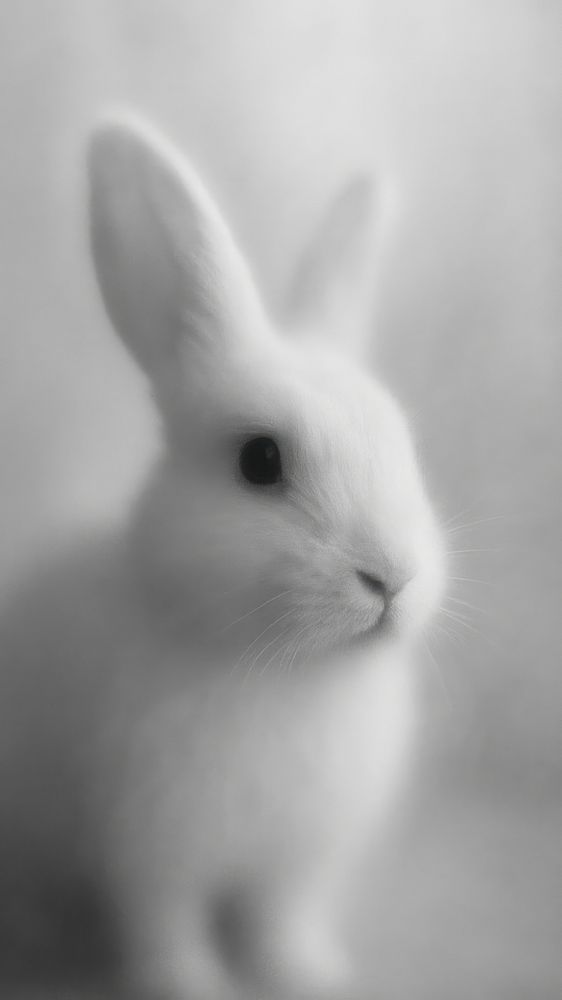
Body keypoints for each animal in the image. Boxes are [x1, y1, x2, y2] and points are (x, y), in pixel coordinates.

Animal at [0, 111, 445, 999]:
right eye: (260, 462)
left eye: (403, 444)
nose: (393, 578)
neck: (293, 676)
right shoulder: (151, 850)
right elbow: (165, 927)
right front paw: (189, 985)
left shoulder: (296, 862)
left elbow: (280, 919)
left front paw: (309, 972)